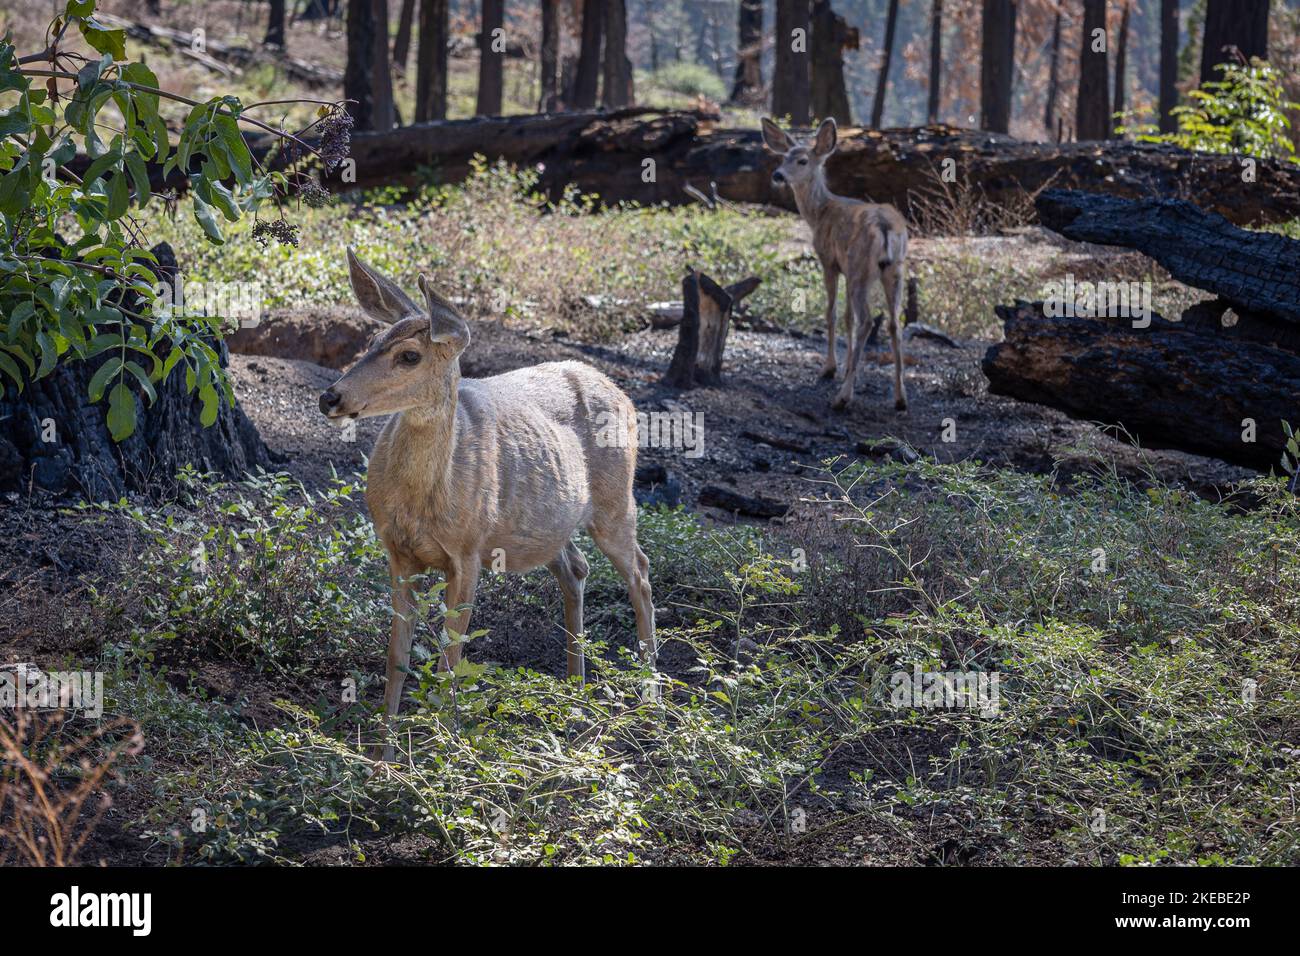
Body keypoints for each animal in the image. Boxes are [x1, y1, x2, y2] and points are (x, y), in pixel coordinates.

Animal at [319, 249, 656, 759]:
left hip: (615, 501)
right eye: (372, 341)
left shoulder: (469, 552)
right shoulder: (397, 553)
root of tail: (620, 390)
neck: (424, 502)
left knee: (639, 569)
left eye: (409, 355)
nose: (330, 397)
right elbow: (397, 654)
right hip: (548, 520)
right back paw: (575, 699)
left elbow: (451, 654)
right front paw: (384, 756)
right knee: (576, 568)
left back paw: (651, 702)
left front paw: (439, 750)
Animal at [761, 116, 909, 412]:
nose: (778, 175)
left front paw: (830, 369)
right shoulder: (845, 269)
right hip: (894, 270)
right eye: (783, 157)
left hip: (860, 268)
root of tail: (885, 226)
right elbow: (847, 317)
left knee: (867, 321)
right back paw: (900, 398)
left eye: (802, 160)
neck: (819, 213)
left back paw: (843, 397)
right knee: (894, 323)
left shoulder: (829, 261)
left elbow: (832, 313)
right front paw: (845, 366)